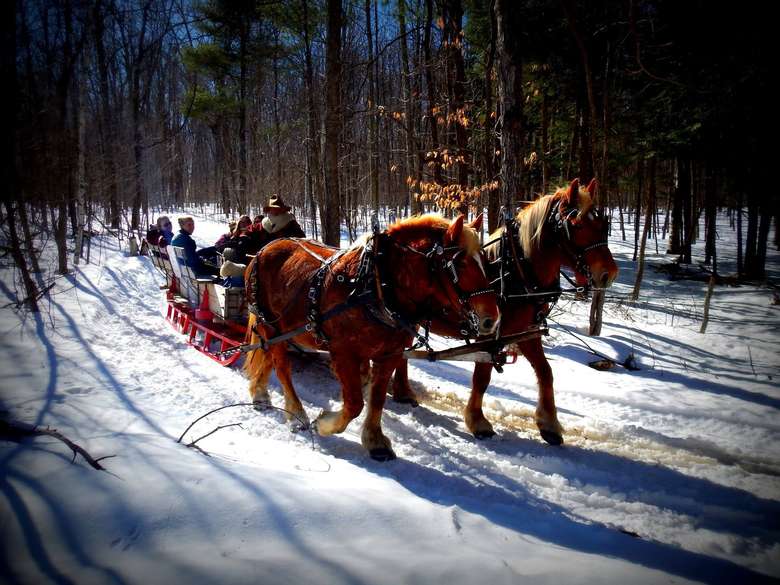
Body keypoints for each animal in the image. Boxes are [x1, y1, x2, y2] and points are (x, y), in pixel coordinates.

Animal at [244, 214, 500, 460]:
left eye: (485, 261)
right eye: (460, 263)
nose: (492, 319)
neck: (375, 287)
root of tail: (263, 250)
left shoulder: (390, 354)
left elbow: (376, 399)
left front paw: (375, 441)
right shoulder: (344, 354)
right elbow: (354, 404)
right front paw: (325, 423)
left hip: (284, 332)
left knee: (269, 357)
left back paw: (260, 395)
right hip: (269, 325)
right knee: (282, 368)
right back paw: (297, 415)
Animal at [394, 178, 620, 442]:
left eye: (603, 224)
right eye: (576, 225)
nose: (608, 274)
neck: (516, 274)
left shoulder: (526, 332)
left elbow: (546, 372)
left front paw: (549, 424)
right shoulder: (490, 336)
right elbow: (482, 377)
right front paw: (478, 421)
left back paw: (402, 391)